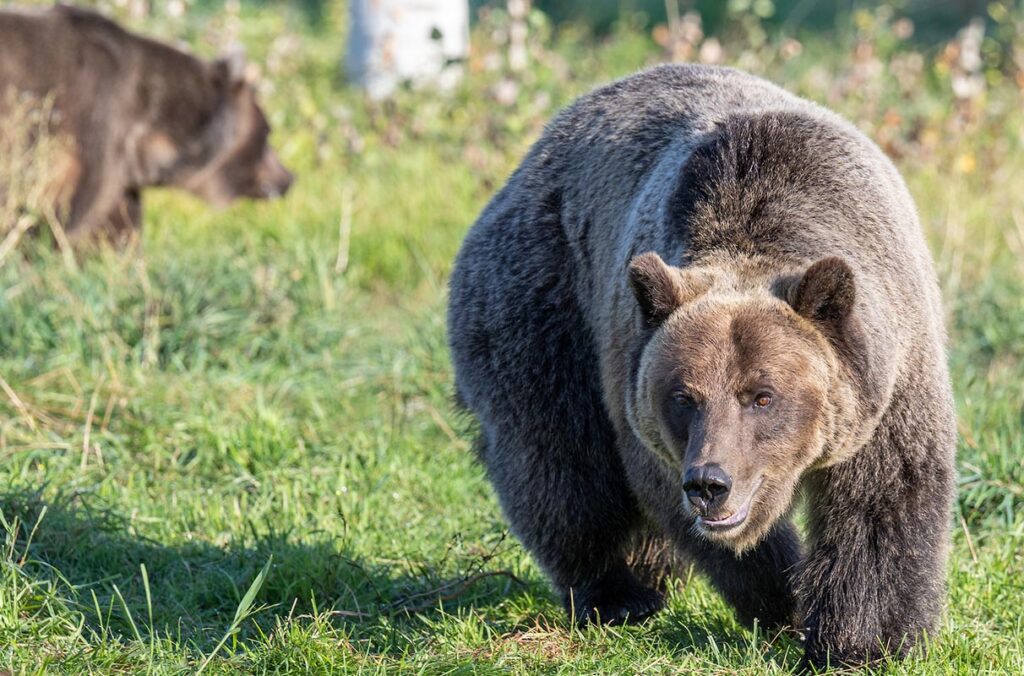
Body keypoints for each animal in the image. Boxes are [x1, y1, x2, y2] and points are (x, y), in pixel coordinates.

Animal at [0, 4, 292, 243]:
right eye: (267, 133)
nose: (289, 178)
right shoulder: (87, 130)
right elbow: (57, 220)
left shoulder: (119, 177)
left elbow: (116, 230)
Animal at [447, 64, 956, 670]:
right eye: (683, 396)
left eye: (763, 395)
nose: (710, 484)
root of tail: (529, 161)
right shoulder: (637, 386)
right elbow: (665, 493)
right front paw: (782, 599)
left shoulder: (891, 375)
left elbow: (883, 499)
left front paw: (859, 641)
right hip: (542, 303)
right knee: (556, 461)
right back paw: (619, 593)